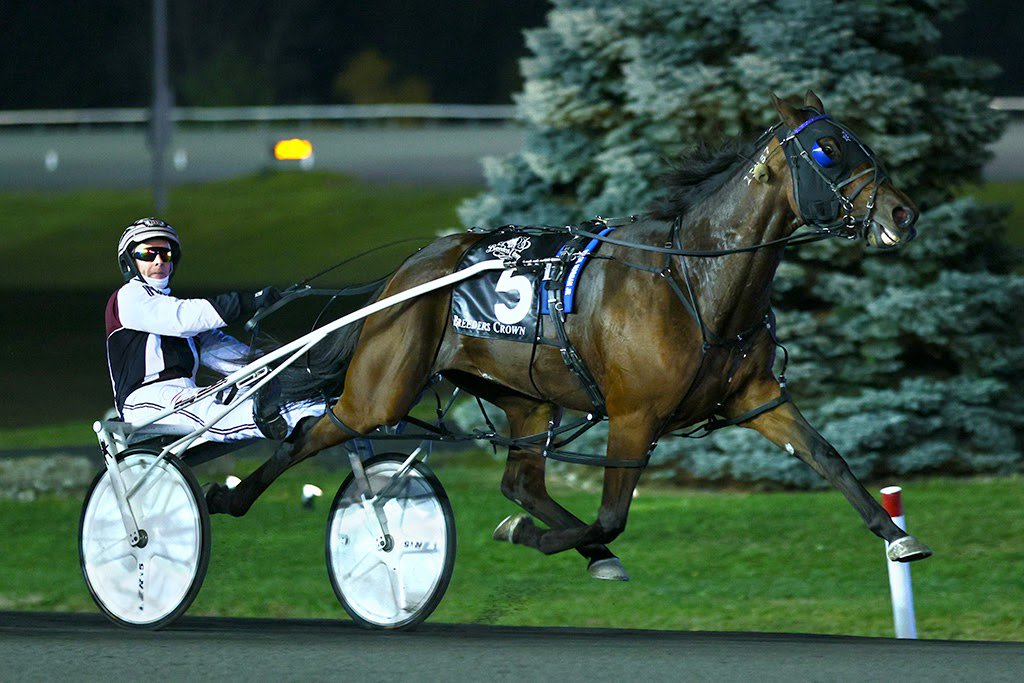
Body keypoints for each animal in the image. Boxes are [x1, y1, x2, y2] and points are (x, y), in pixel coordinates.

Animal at [205, 91, 932, 580]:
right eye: (828, 149)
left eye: (861, 141)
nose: (904, 213)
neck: (693, 279)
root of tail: (408, 270)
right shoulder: (634, 414)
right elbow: (612, 512)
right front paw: (536, 539)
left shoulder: (755, 396)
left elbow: (827, 456)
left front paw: (897, 535)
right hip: (385, 385)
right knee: (318, 428)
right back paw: (227, 495)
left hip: (526, 396)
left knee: (521, 482)